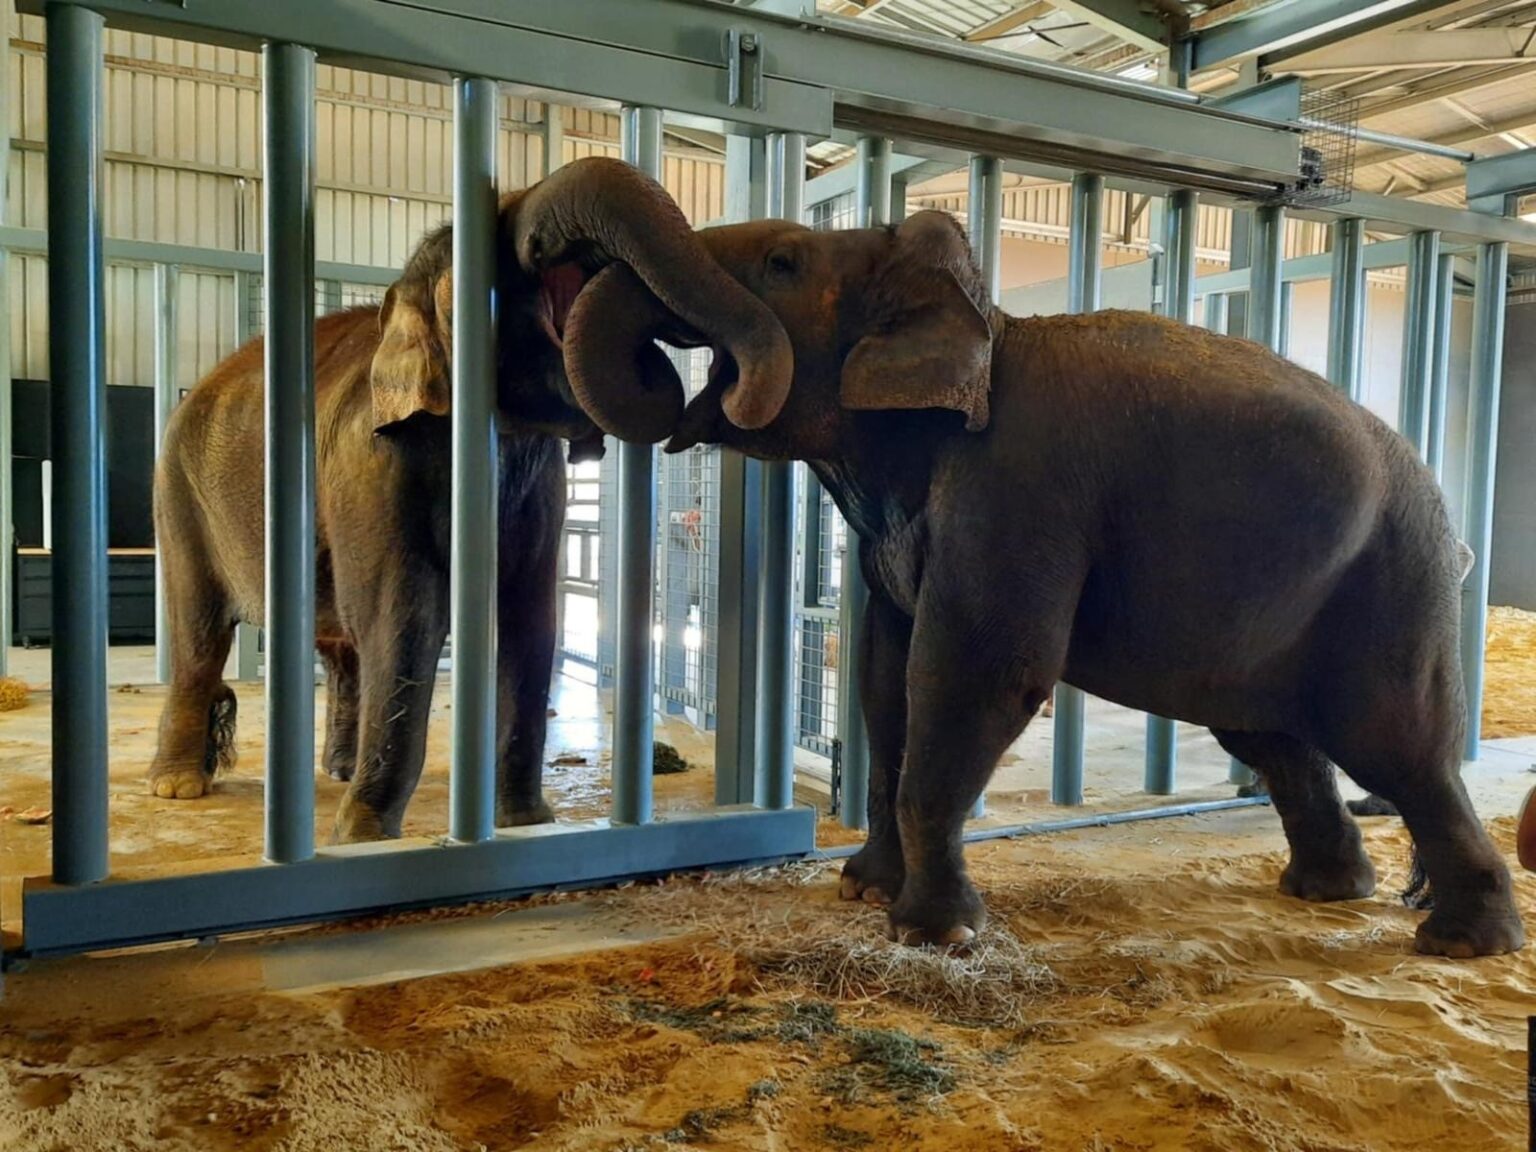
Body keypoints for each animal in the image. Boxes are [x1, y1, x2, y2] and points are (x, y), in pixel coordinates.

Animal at [149, 157, 790, 842]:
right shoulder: (370, 464)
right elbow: (407, 615)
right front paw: (364, 836)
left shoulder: (539, 480)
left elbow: (532, 616)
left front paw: (525, 823)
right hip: (179, 495)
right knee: (199, 633)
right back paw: (179, 787)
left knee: (340, 645)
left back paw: (338, 773)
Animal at [533, 196, 1523, 958]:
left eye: (782, 262)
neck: (981, 322)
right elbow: (884, 675)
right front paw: (863, 893)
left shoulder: (1015, 485)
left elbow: (977, 674)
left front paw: (935, 936)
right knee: (1272, 734)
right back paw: (1331, 891)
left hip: (1394, 581)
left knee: (1397, 745)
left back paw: (1461, 942)